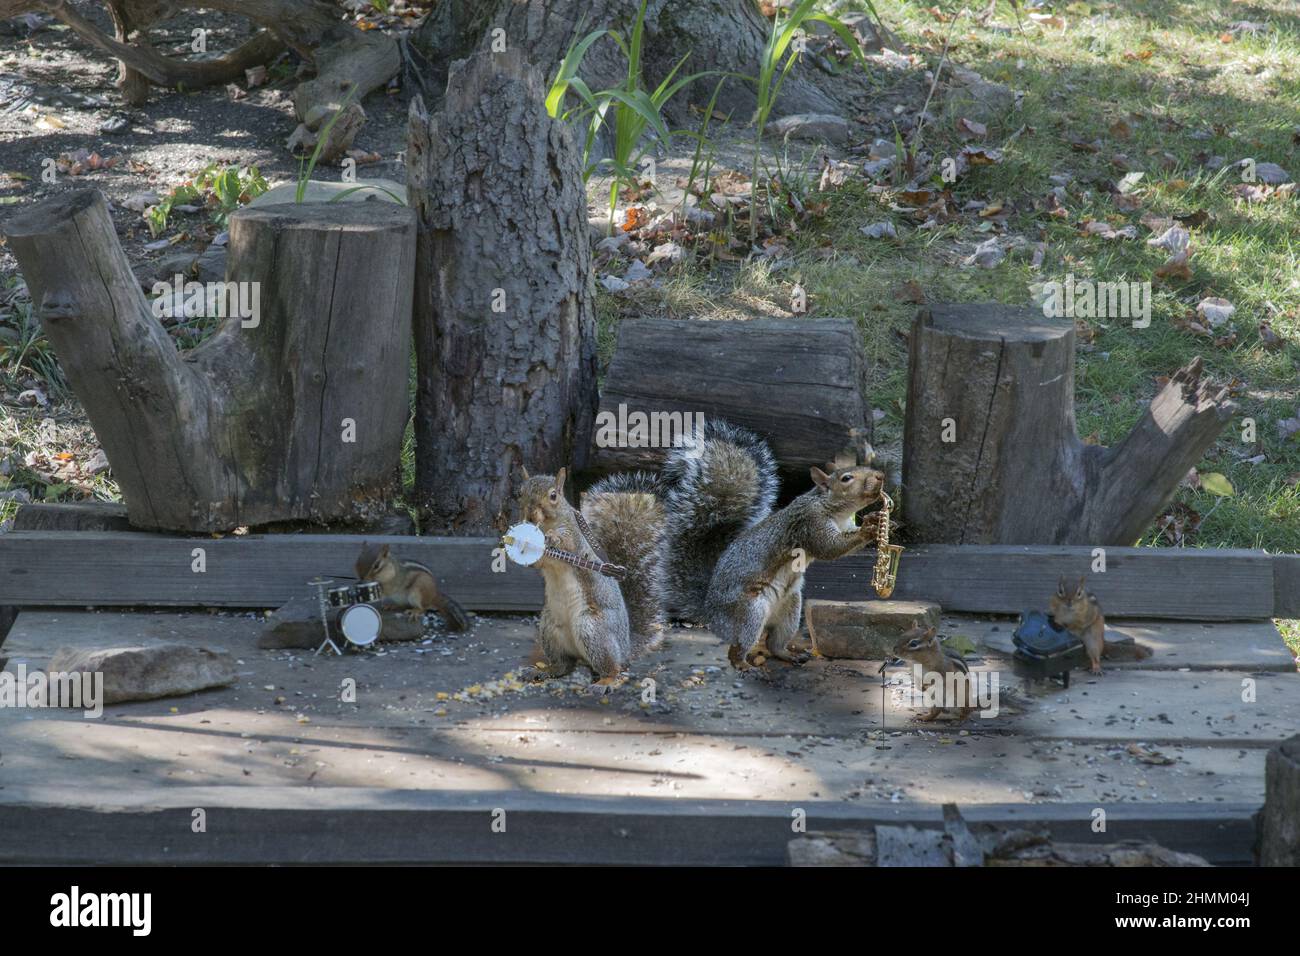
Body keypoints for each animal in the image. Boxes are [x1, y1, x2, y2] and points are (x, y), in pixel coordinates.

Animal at [705, 463, 886, 669]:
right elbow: (829, 547)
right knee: (737, 646)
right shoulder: (810, 522)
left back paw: (789, 655)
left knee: (773, 643)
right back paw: (742, 664)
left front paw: (875, 520)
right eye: (846, 478)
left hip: (790, 609)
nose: (880, 476)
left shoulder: (845, 525)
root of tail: (714, 621)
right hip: (749, 613)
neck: (836, 511)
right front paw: (867, 530)